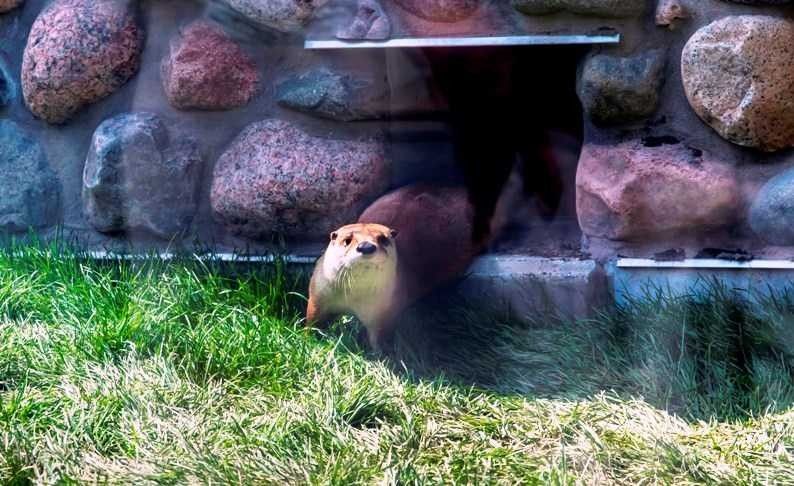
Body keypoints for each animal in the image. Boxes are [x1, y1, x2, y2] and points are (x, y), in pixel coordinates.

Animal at [306, 185, 487, 349]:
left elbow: (380, 335)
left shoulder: (385, 310)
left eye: (382, 239)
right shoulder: (319, 294)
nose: (366, 246)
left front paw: (381, 353)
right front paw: (311, 337)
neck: (352, 298)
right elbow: (314, 318)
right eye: (347, 240)